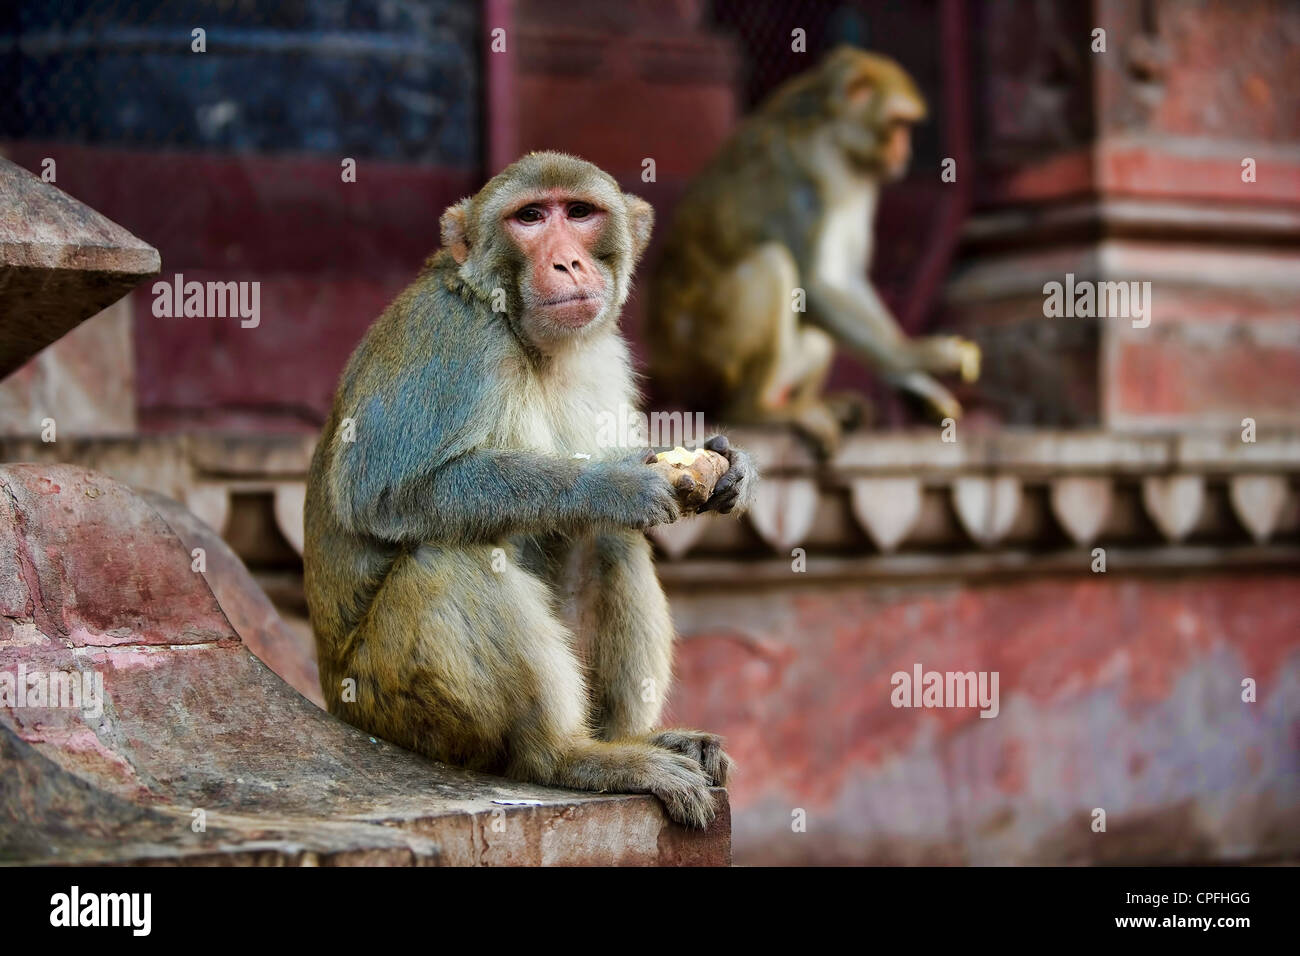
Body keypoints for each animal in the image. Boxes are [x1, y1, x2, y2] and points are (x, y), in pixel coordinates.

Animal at [303, 152, 755, 829]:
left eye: (580, 212)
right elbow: (380, 493)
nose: (566, 262)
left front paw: (725, 466)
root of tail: (335, 702)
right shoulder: (455, 341)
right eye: (531, 217)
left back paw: (622, 740)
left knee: (613, 546)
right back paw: (566, 755)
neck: (522, 333)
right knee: (449, 559)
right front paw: (613, 486)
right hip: (391, 702)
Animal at [648, 46, 981, 456]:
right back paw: (756, 411)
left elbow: (845, 279)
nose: (906, 150)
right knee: (774, 265)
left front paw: (920, 386)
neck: (834, 133)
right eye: (899, 123)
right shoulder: (813, 169)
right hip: (708, 362)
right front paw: (920, 354)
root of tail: (667, 368)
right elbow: (816, 282)